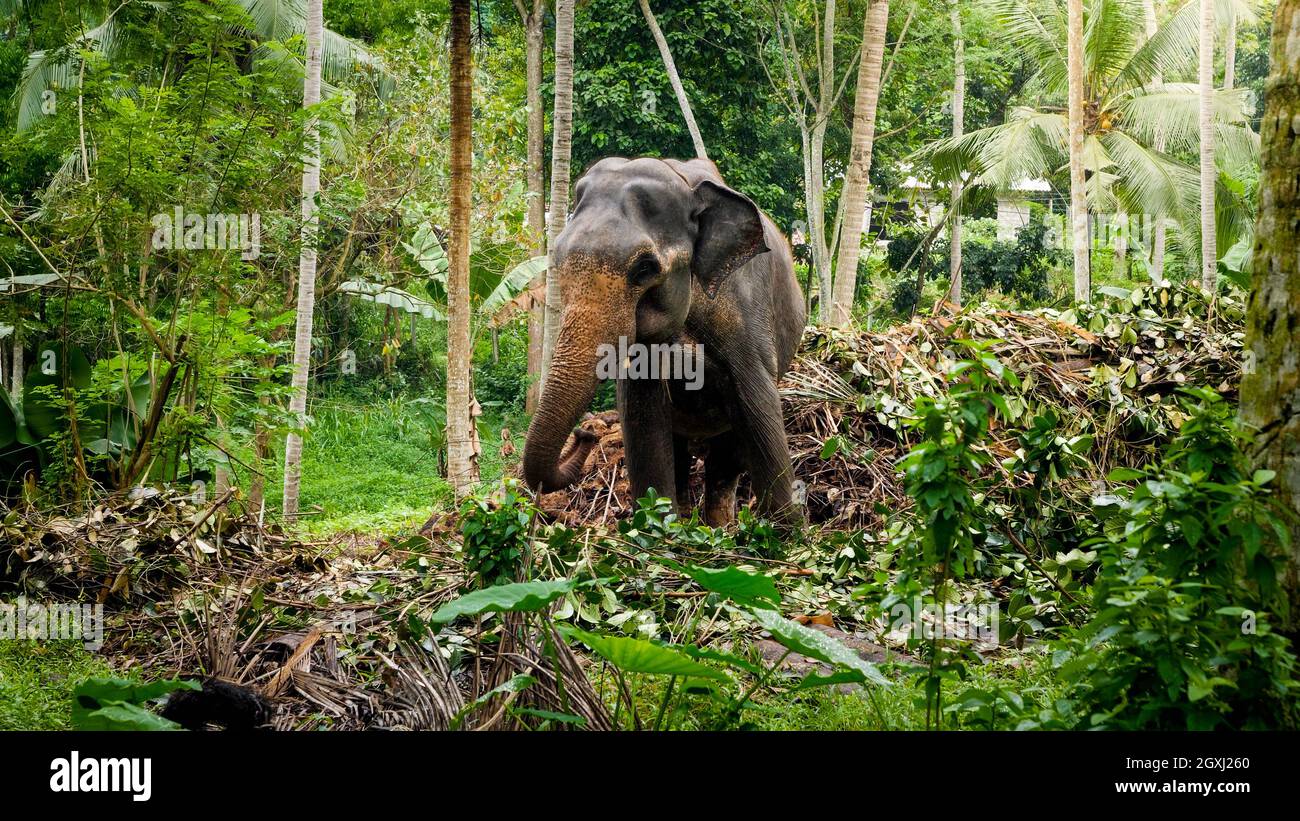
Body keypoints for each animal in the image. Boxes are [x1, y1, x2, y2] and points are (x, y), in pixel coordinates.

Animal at [522, 157, 806, 526]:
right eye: (556, 259)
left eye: (644, 268)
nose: (586, 433)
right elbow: (644, 420)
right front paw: (657, 528)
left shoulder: (747, 309)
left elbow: (759, 406)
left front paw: (787, 532)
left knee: (728, 454)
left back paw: (718, 526)